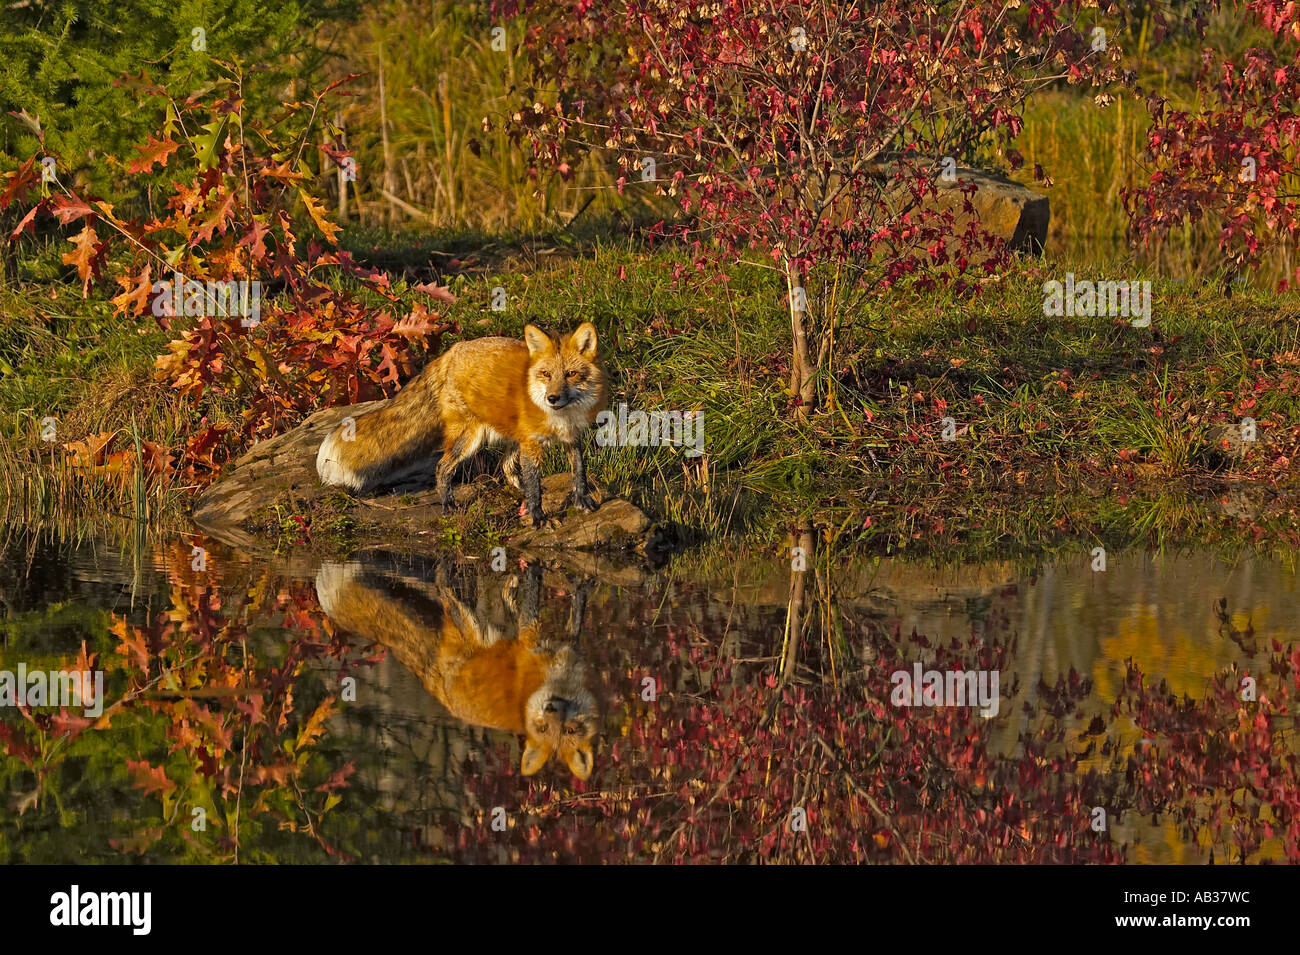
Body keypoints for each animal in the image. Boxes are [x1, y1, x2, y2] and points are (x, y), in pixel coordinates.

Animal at [315, 558, 597, 780]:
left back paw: (508, 591)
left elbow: (575, 619)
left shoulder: (565, 651)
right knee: (443, 583)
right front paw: (537, 572)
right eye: (543, 728)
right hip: (469, 622)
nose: (550, 707)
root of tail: (436, 686)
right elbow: (534, 602)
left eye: (569, 730)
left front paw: (580, 589)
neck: (555, 681)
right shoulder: (529, 641)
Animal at [316, 322, 608, 527]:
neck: (561, 417)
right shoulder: (532, 443)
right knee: (443, 467)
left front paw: (583, 502)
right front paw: (538, 518)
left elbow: (579, 472)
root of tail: (448, 354)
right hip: (470, 438)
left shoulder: (572, 438)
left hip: (507, 436)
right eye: (546, 374)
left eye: (571, 374)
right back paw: (448, 506)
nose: (553, 398)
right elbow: (535, 485)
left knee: (504, 466)